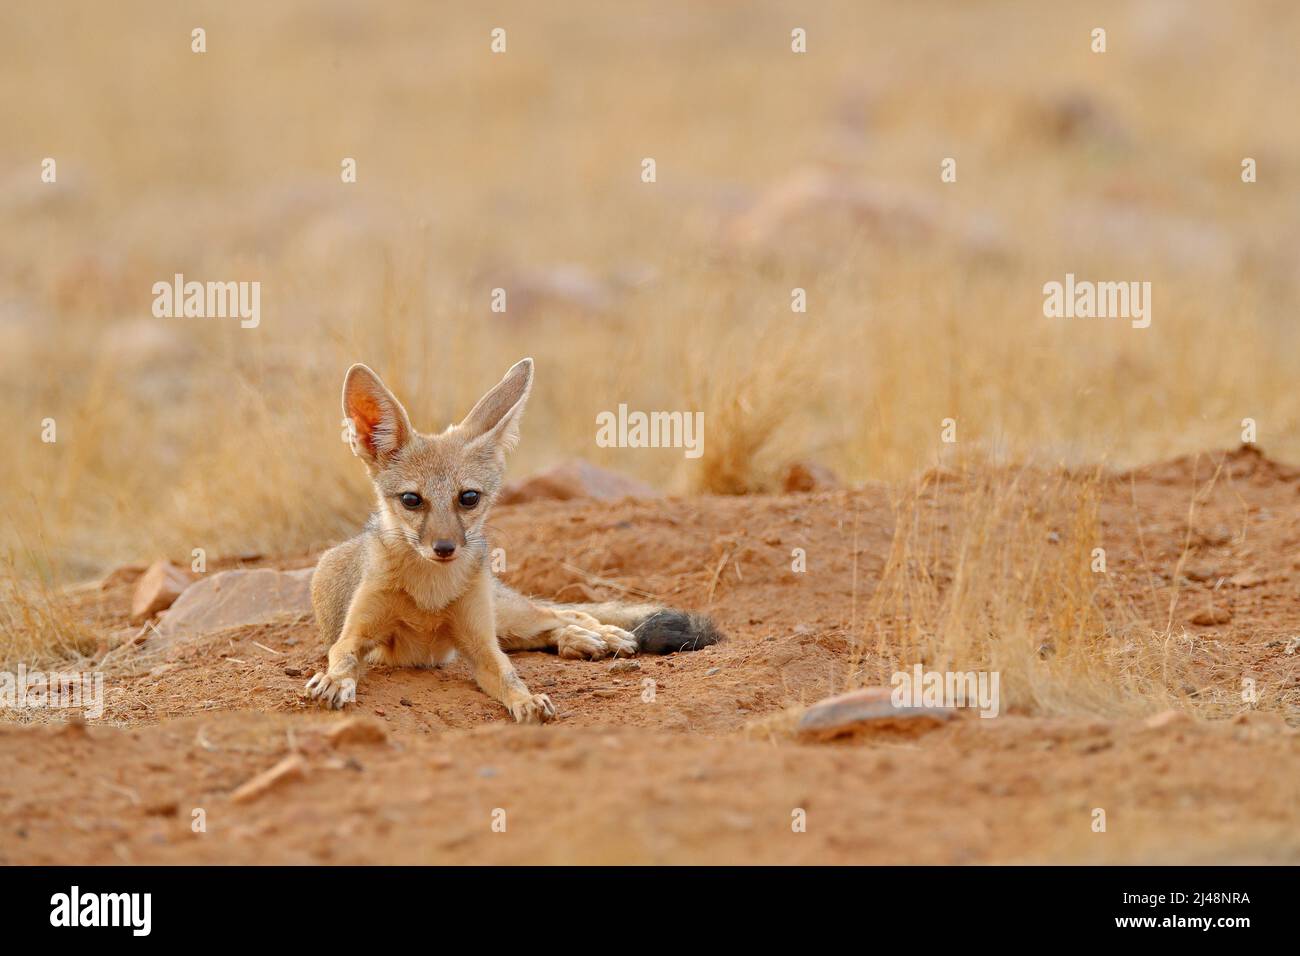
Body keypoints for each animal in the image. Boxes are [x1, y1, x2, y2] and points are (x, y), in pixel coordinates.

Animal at [306, 357, 721, 723]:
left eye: (468, 497)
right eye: (411, 500)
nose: (445, 548)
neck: (431, 592)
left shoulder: (480, 643)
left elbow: (509, 677)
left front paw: (527, 701)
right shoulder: (358, 634)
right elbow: (343, 656)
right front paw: (334, 682)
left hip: (506, 617)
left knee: (566, 613)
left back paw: (602, 636)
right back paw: (578, 640)